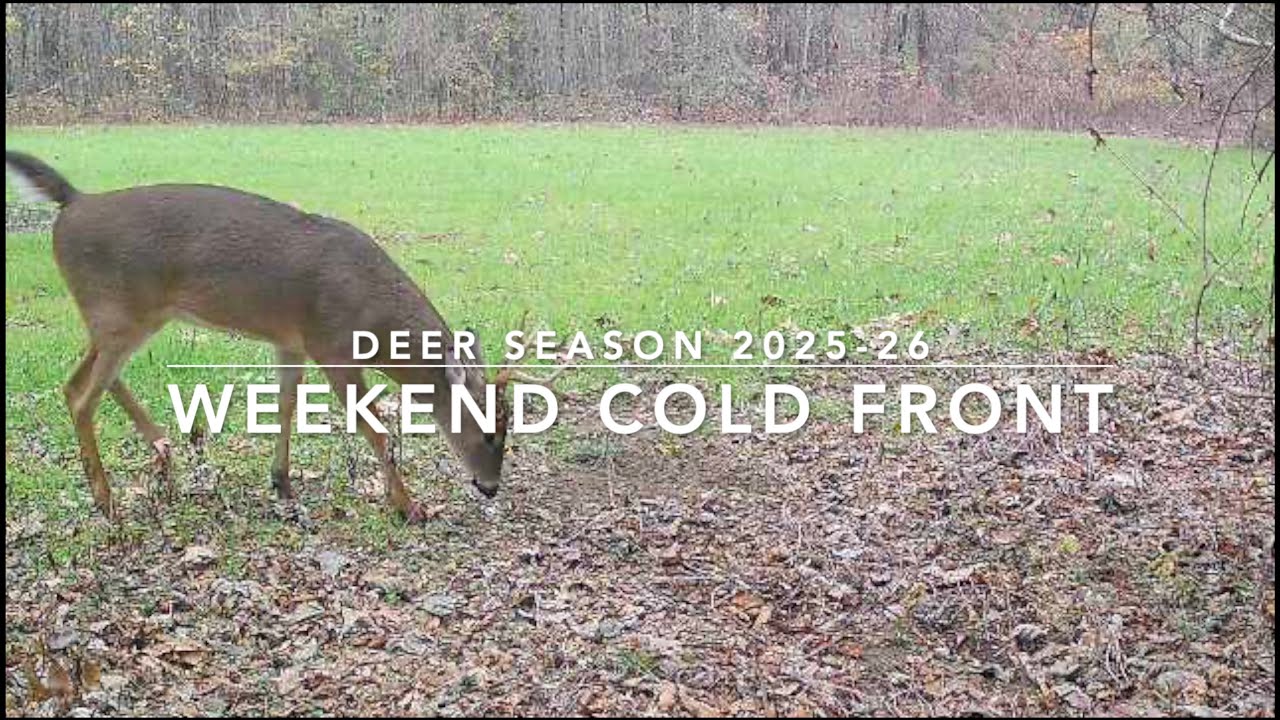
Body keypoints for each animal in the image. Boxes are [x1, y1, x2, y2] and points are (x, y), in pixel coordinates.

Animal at [5, 150, 558, 522]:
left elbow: (287, 405)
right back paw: (106, 499)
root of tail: (73, 202)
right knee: (81, 394)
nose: (490, 487)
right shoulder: (333, 344)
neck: (374, 316)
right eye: (491, 430)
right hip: (121, 312)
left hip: (123, 317)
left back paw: (162, 452)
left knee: (81, 378)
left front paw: (283, 483)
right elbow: (375, 428)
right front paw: (408, 507)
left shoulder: (292, 340)